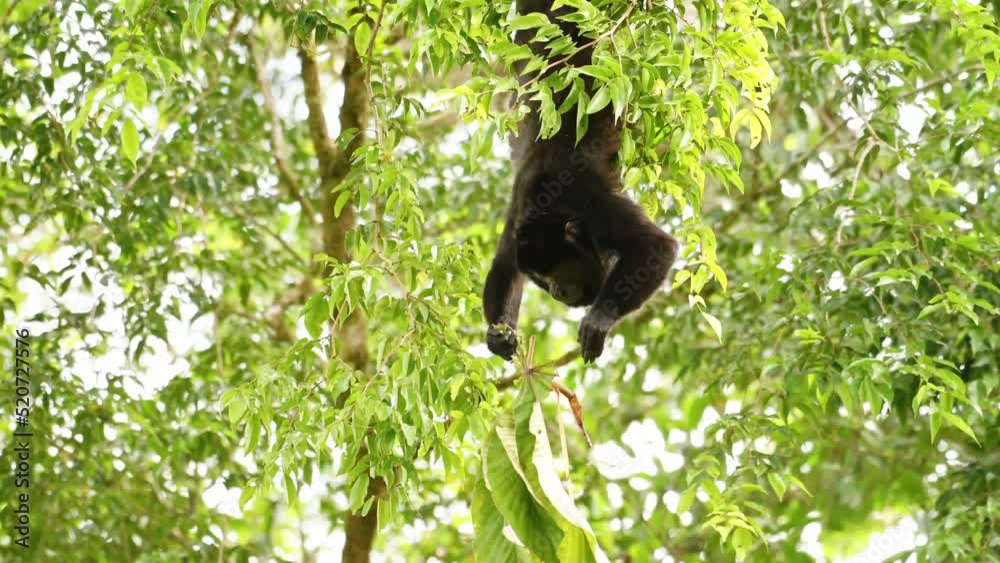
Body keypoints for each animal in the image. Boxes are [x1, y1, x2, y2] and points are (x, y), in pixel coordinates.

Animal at [483, 0, 677, 363]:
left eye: (553, 273)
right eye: (540, 280)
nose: (556, 292)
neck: (550, 208)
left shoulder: (589, 197)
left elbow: (657, 245)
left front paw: (599, 318)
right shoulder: (518, 212)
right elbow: (504, 265)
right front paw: (498, 335)